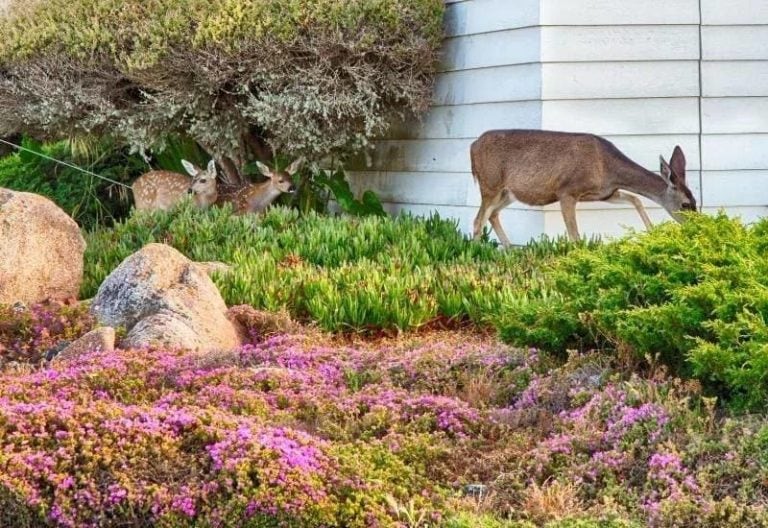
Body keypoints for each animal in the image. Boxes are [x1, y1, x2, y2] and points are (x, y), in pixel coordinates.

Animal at [471, 130, 697, 245]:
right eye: (686, 204)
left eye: (696, 201)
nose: (696, 226)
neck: (607, 168)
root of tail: (472, 146)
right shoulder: (567, 190)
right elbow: (575, 236)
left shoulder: (605, 193)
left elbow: (635, 199)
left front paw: (651, 231)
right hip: (490, 184)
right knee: (478, 220)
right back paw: (478, 254)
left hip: (508, 192)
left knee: (492, 215)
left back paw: (509, 249)